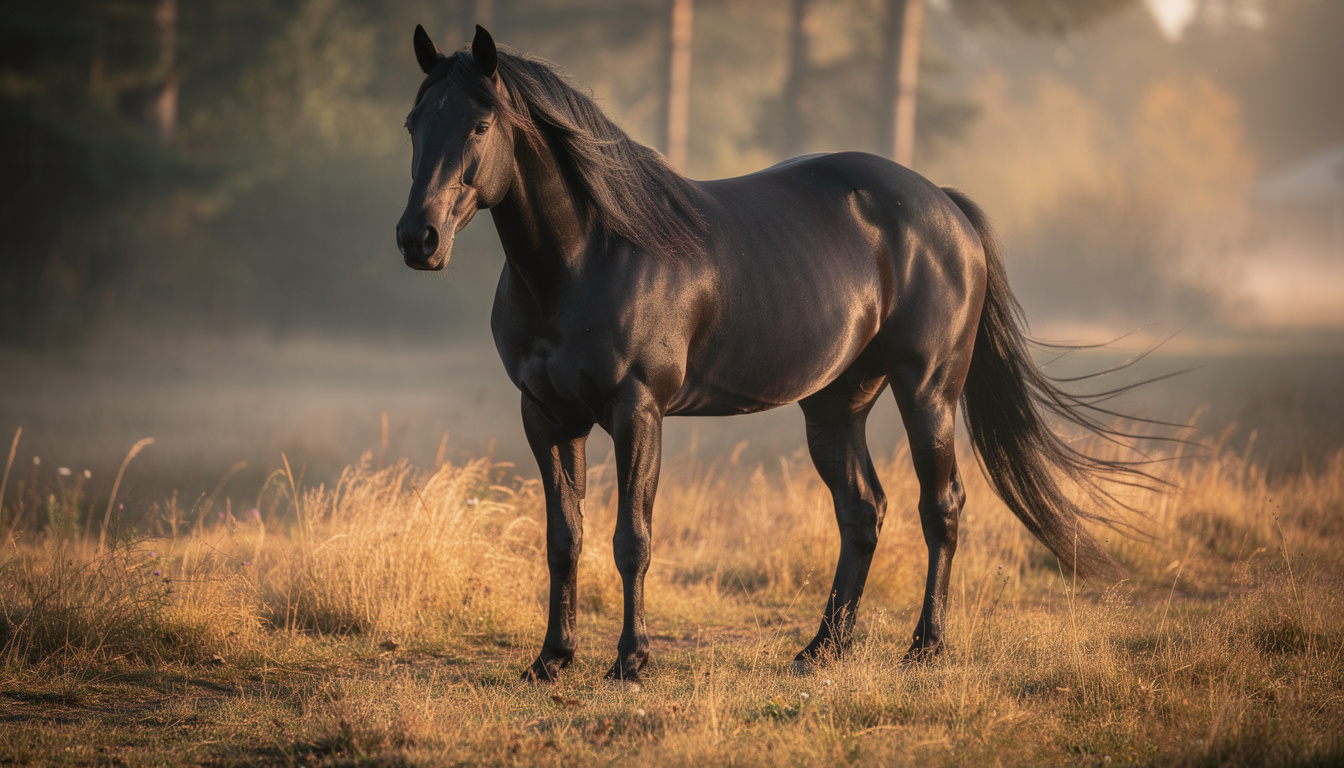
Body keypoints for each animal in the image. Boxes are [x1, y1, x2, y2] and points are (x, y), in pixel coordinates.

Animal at [396, 25, 1155, 689]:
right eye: (413, 124)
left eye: (481, 125)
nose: (417, 238)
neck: (589, 256)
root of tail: (944, 206)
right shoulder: (547, 417)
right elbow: (563, 539)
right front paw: (551, 661)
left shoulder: (638, 412)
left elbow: (631, 538)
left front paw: (630, 663)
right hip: (836, 403)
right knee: (863, 511)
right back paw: (821, 649)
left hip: (928, 392)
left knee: (940, 507)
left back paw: (924, 647)